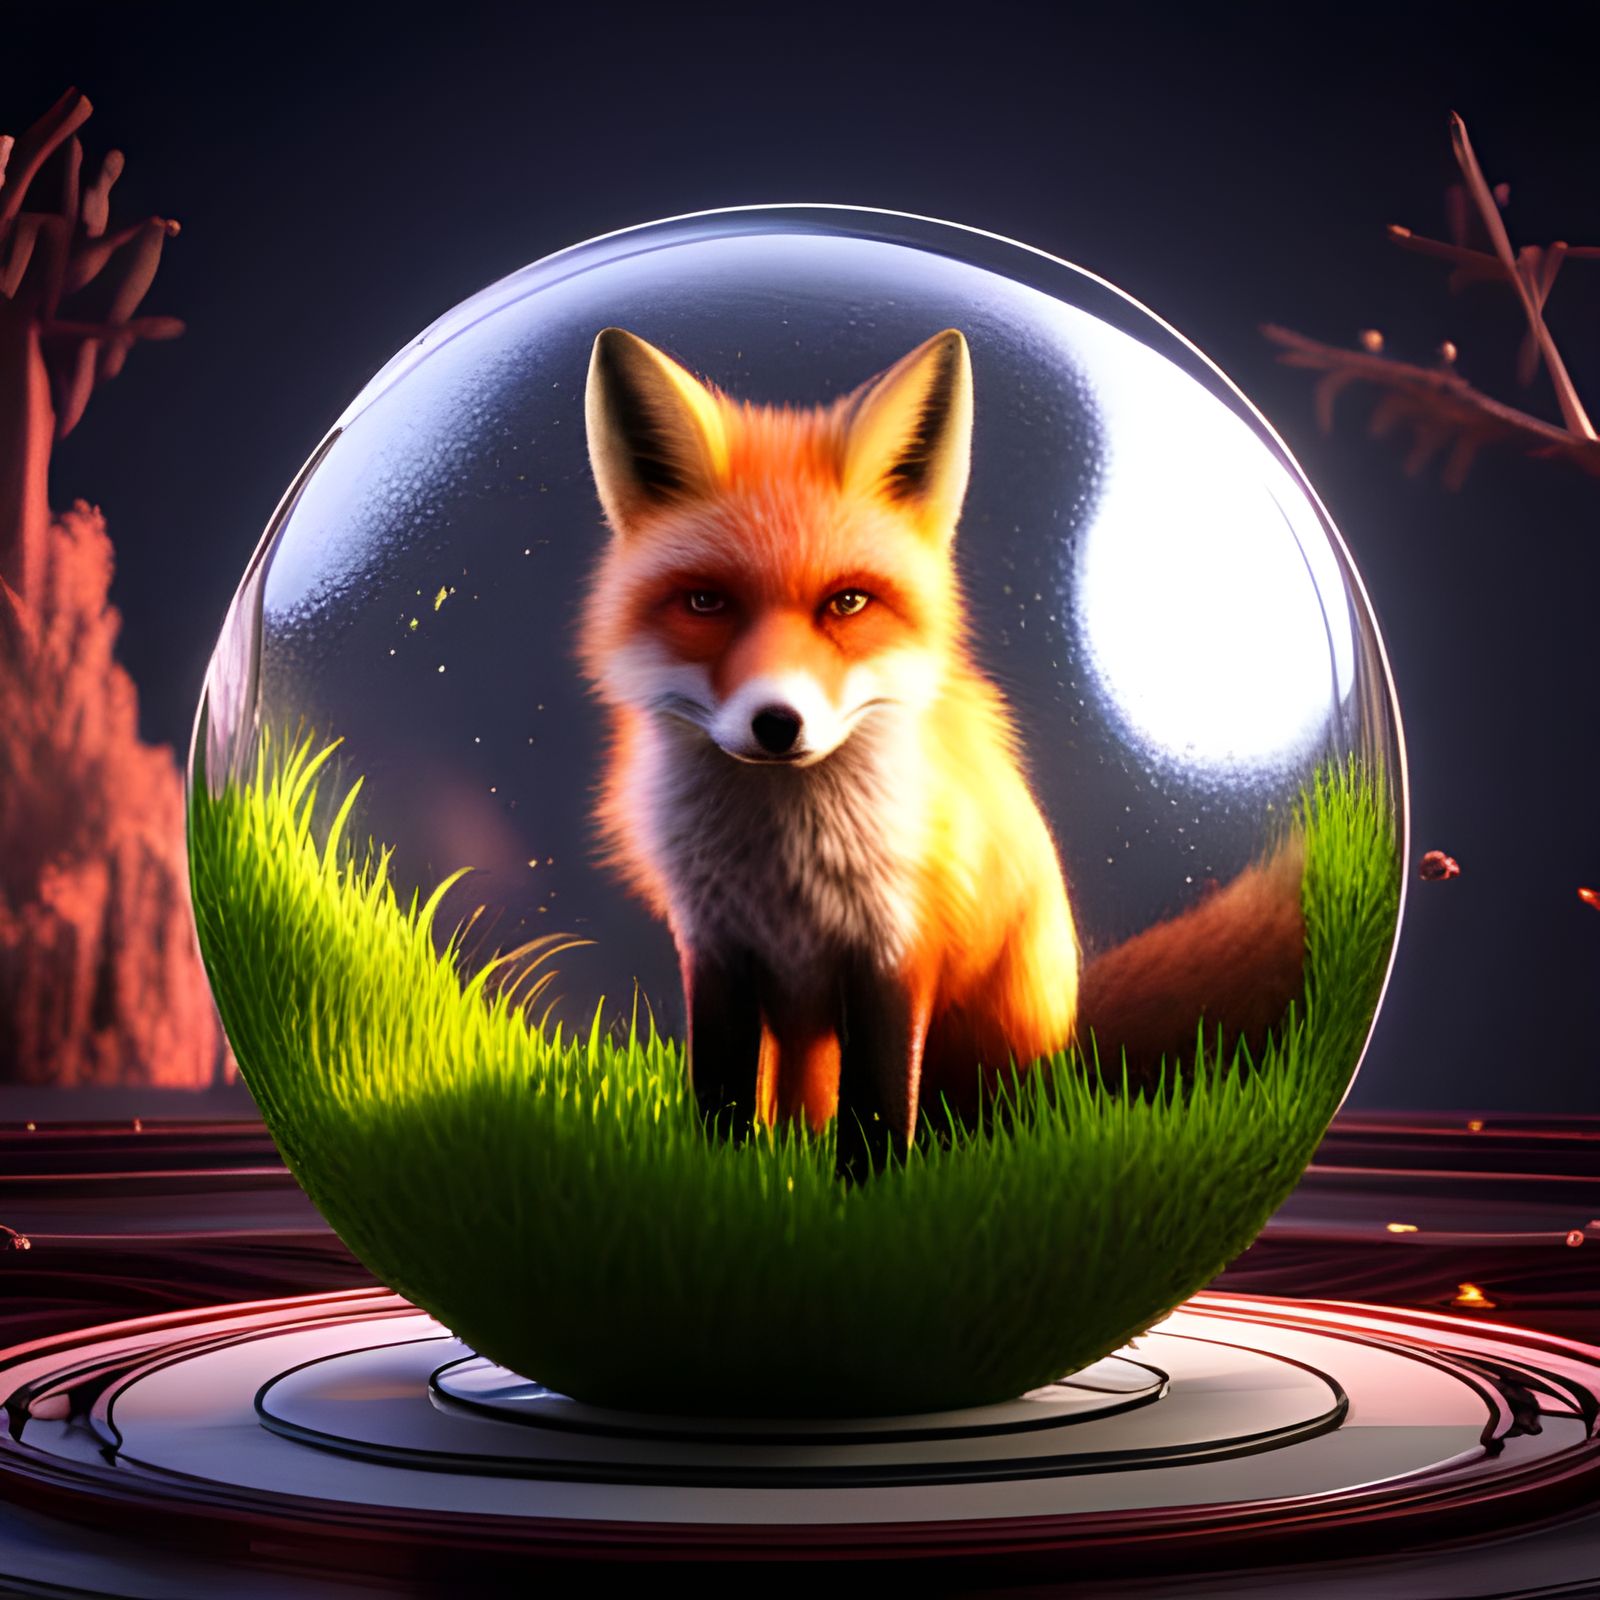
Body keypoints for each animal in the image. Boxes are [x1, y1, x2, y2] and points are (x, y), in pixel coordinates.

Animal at [577, 324, 1307, 1169]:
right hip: (800, 1037)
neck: (785, 865)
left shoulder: (898, 948)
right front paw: (732, 1182)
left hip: (984, 1050)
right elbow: (719, 1097)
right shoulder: (714, 949)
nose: (777, 723)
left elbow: (879, 1107)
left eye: (847, 602)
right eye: (706, 602)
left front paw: (866, 1192)